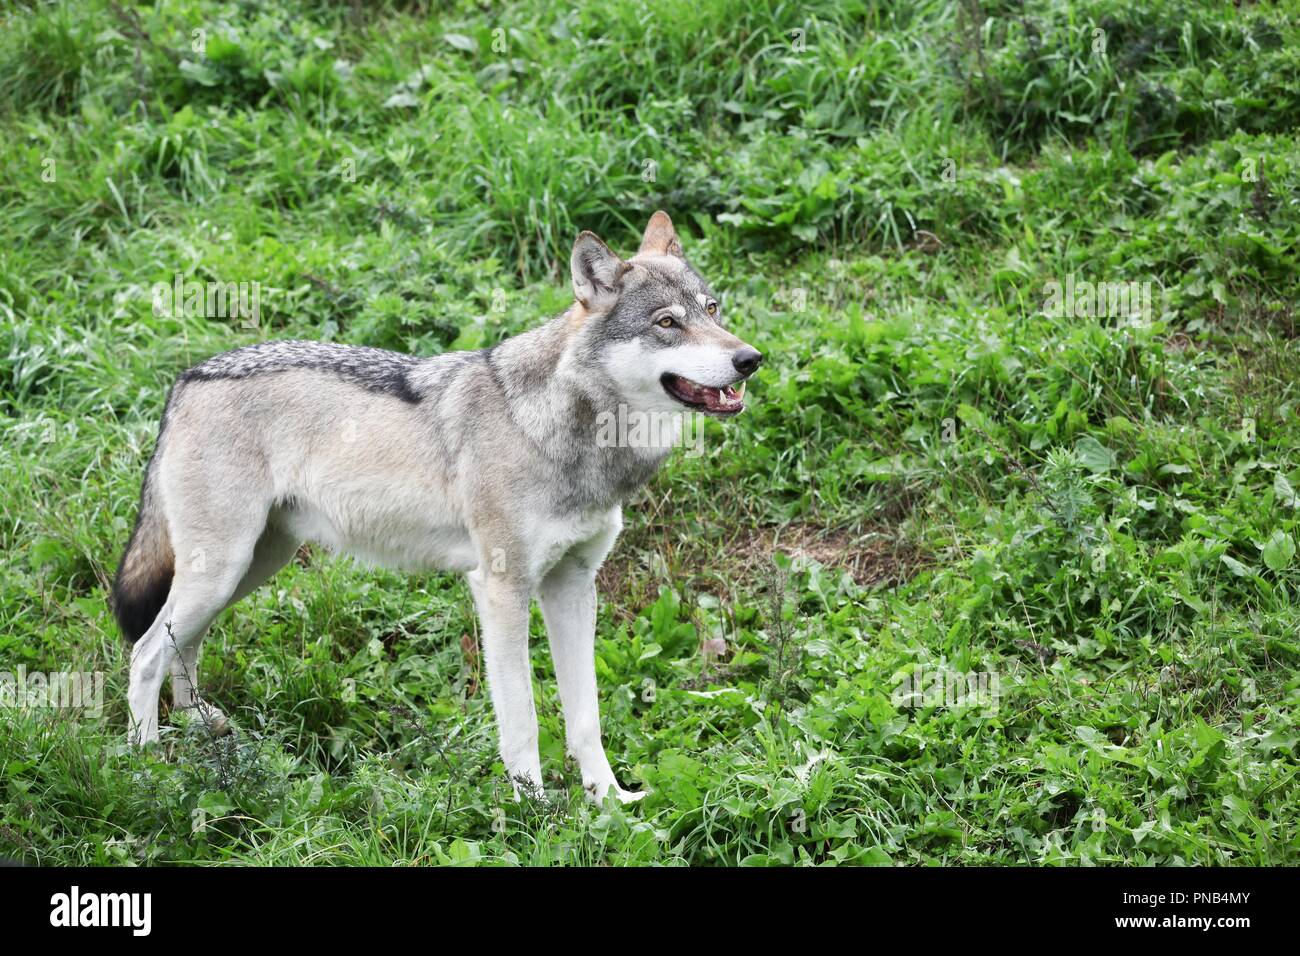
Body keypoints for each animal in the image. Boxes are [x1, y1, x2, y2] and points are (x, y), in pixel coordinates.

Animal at [111, 211, 761, 802]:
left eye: (712, 310)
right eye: (667, 323)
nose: (750, 359)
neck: (567, 430)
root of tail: (186, 378)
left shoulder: (574, 586)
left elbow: (585, 717)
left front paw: (609, 804)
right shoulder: (500, 590)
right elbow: (523, 720)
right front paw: (534, 812)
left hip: (248, 568)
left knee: (182, 644)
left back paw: (200, 730)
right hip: (222, 570)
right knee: (145, 653)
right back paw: (149, 768)